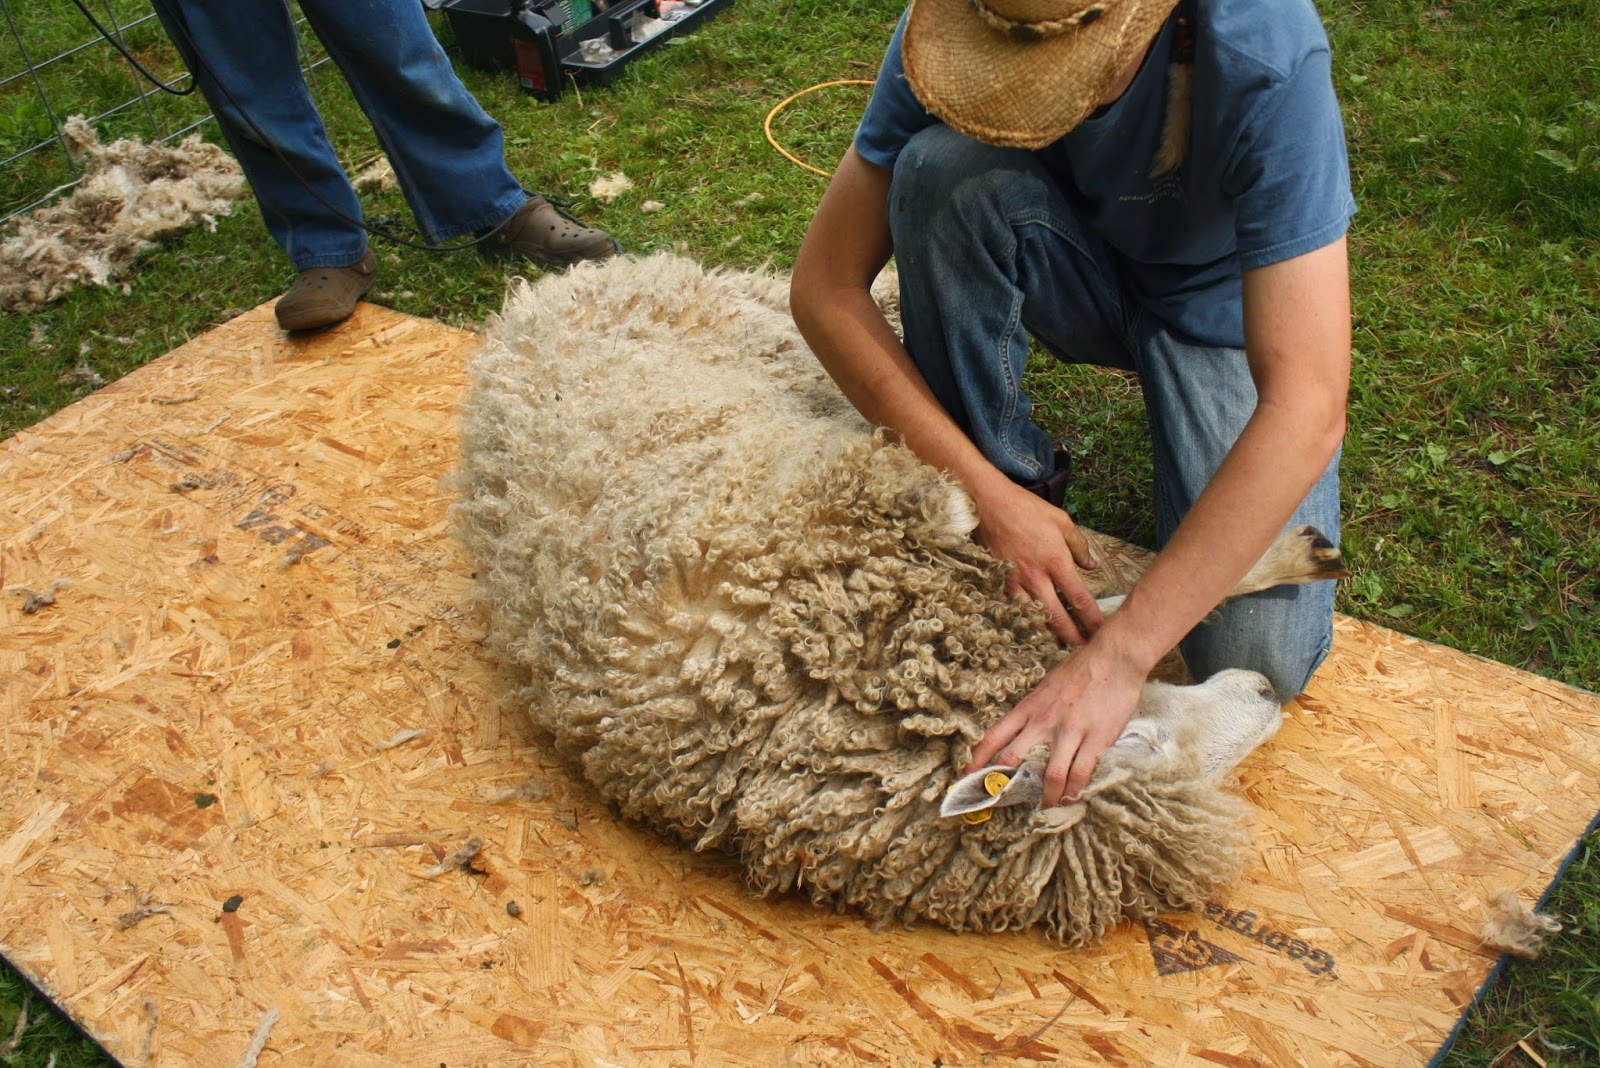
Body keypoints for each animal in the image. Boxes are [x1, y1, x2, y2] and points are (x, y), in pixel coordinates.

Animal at [451, 253, 1346, 944]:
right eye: (1143, 745)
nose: (1266, 691)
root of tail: (535, 300)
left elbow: (1101, 590)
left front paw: (1276, 558)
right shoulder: (844, 501)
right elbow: (1020, 544)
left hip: (763, 325)